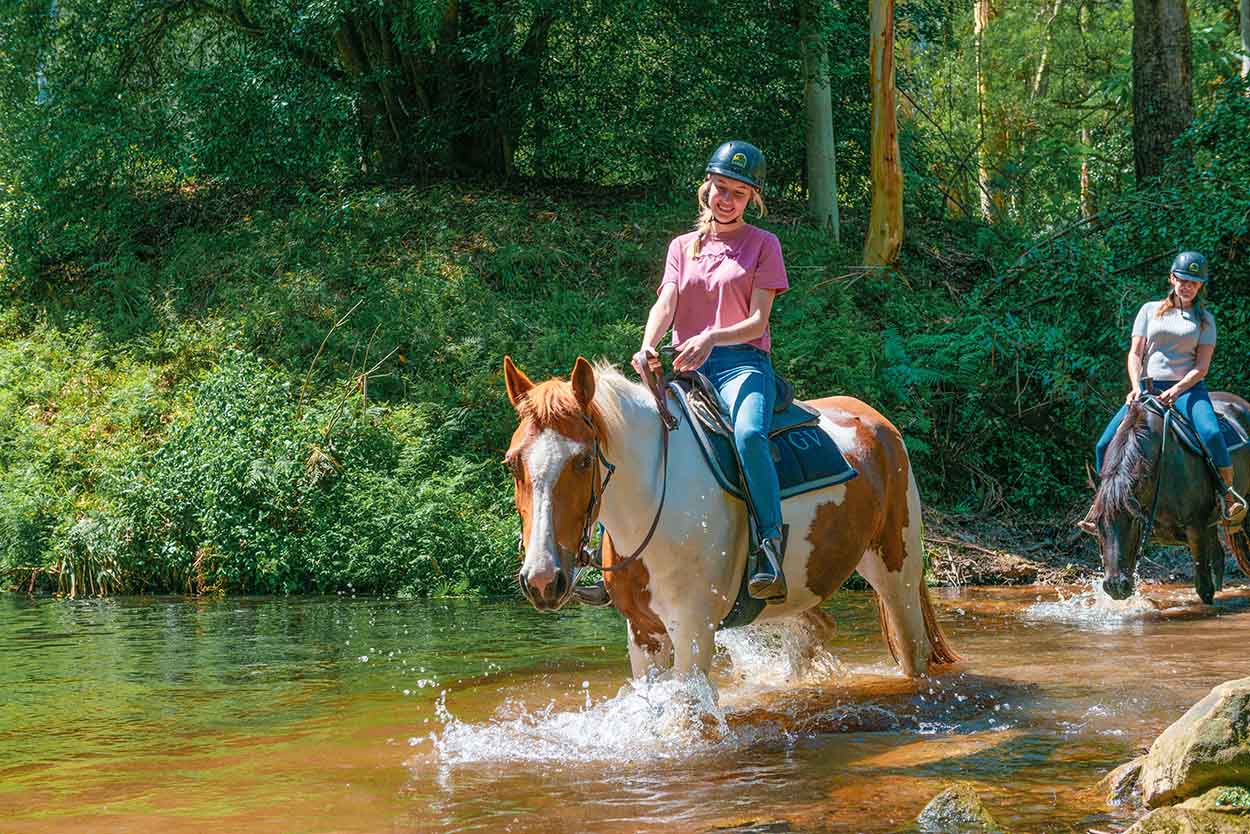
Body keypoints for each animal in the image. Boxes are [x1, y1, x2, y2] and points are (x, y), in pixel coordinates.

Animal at [501, 355, 958, 679]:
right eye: (513, 462)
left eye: (582, 461)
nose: (542, 580)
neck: (654, 499)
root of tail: (878, 423)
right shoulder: (644, 633)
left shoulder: (693, 628)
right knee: (815, 630)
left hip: (897, 572)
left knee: (912, 652)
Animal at [1090, 391, 1250, 604]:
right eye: (1097, 522)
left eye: (1133, 520)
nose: (1115, 586)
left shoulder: (1196, 528)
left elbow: (1204, 589)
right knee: (1219, 558)